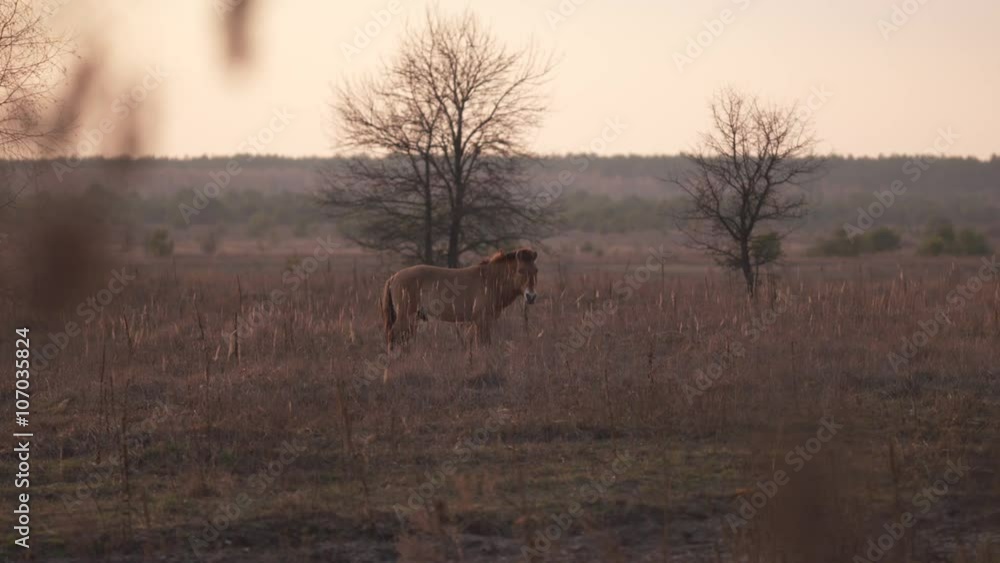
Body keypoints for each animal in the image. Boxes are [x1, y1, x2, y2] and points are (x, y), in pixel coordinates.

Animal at [380, 248, 538, 358]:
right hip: (405, 317)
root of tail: (394, 276)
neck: (491, 280)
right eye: (520, 270)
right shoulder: (481, 320)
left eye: (536, 270)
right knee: (392, 336)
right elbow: (482, 344)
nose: (531, 296)